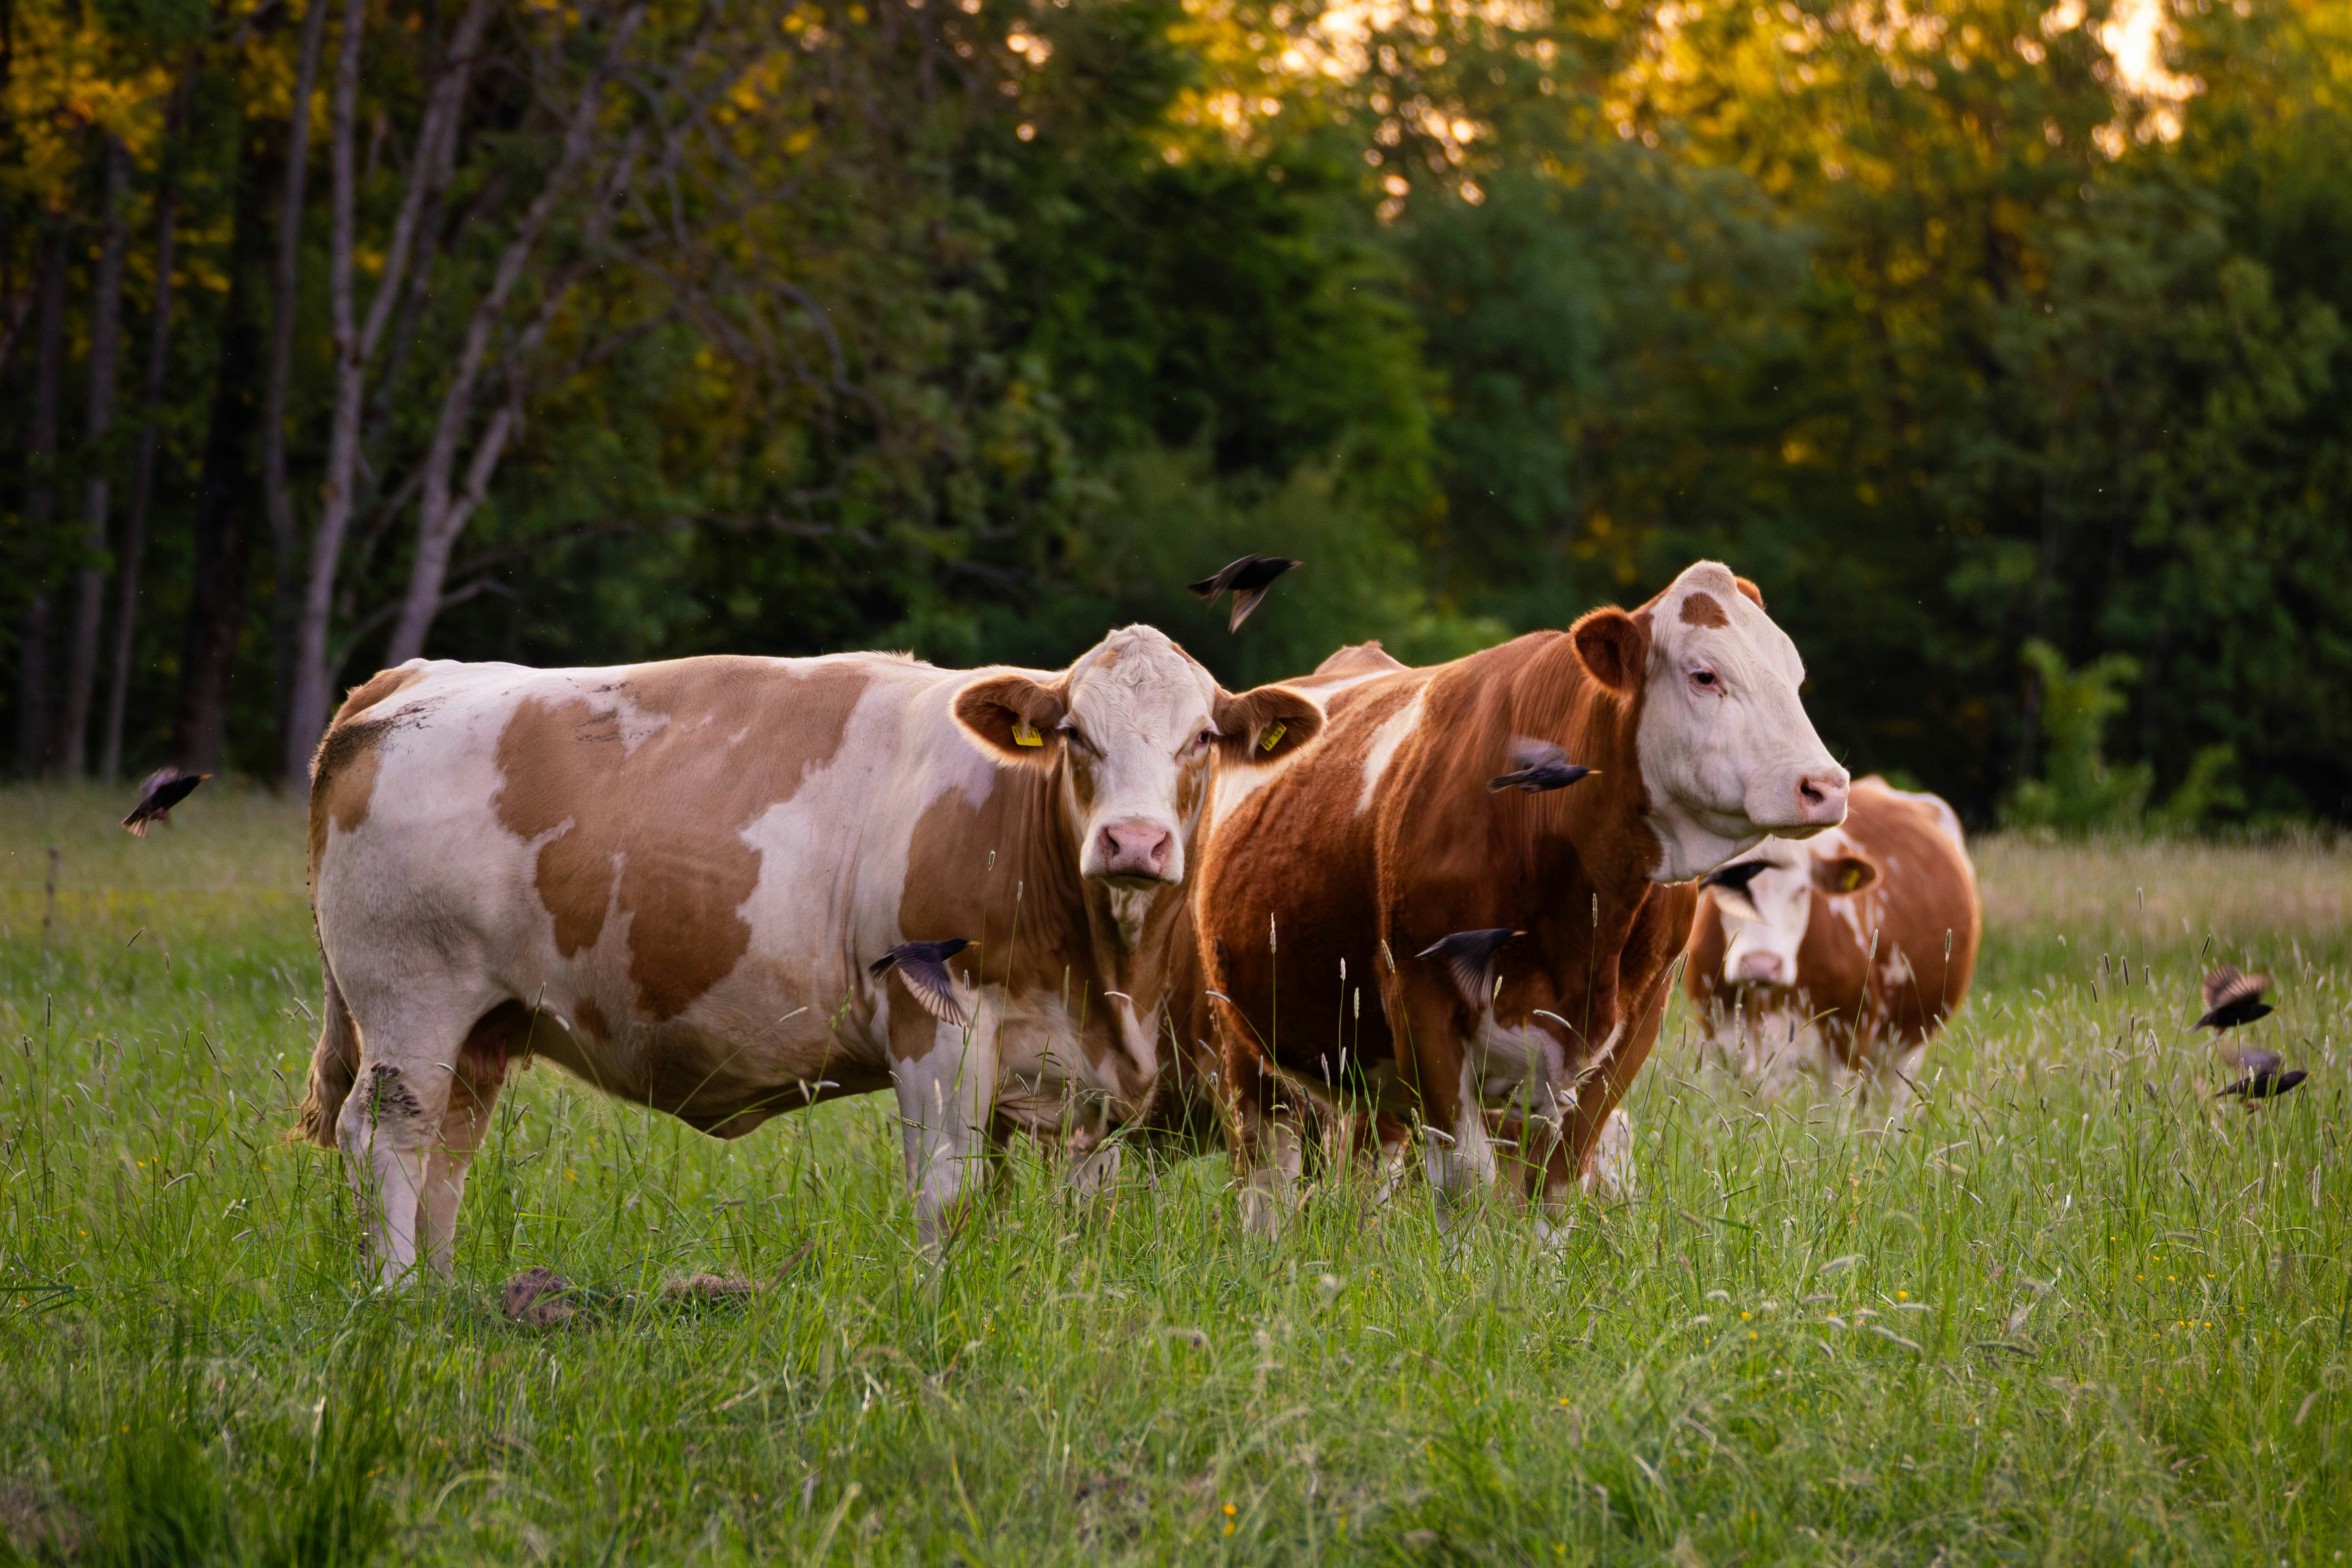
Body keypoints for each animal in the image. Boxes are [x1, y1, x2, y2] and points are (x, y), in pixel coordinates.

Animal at [293, 628, 1324, 1281]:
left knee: (446, 1154)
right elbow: (947, 1195)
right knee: (386, 1137)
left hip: (484, 1026)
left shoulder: (1085, 1076)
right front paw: (935, 1304)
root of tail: (411, 681)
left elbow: (1078, 1204)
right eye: (1074, 732)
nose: (1134, 843)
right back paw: (394, 1295)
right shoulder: (934, 1027)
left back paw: (444, 1295)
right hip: (411, 998)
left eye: (1202, 738)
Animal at [1194, 562, 1849, 1231]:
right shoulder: (1422, 1000)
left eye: (1794, 676)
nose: (1824, 785)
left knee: (1368, 1166)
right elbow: (1465, 1185)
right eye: (1704, 674)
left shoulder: (1637, 1020)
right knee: (1268, 1173)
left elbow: (1552, 1185)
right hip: (1247, 1041)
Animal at [1684, 775, 1979, 1118]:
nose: (1761, 965)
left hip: (1906, 1048)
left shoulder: (1846, 1045)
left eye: (1802, 890)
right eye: (1723, 885)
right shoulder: (1715, 1041)